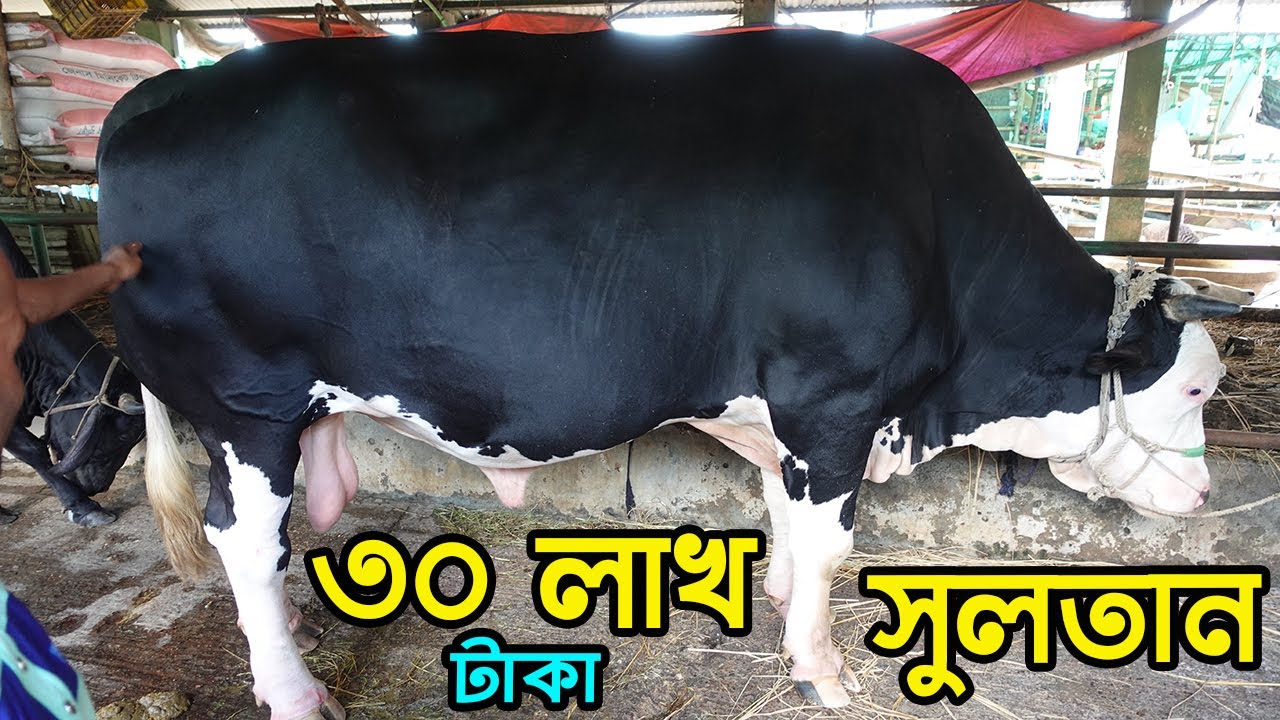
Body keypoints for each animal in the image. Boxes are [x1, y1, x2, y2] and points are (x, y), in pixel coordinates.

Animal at [97, 30, 1239, 717]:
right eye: (1192, 389)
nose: (1202, 494)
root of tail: (158, 89)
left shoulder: (778, 411)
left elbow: (785, 522)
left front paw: (780, 597)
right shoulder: (833, 401)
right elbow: (831, 543)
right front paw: (821, 665)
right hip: (246, 406)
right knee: (245, 543)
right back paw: (293, 689)